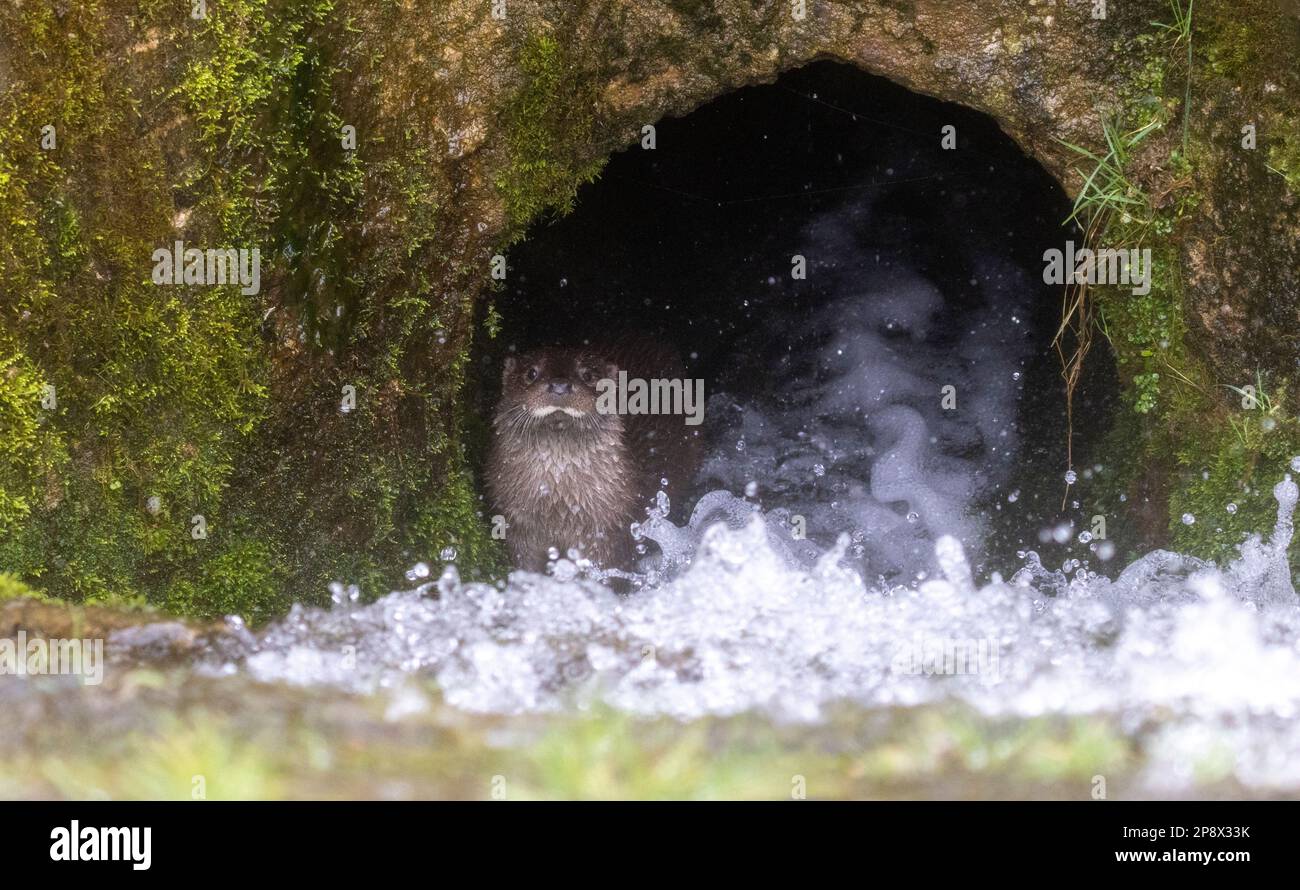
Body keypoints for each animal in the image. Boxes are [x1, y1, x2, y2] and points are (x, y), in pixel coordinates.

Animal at [487, 338, 703, 573]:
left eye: (588, 375)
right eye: (531, 373)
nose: (559, 385)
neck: (557, 505)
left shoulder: (610, 529)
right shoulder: (516, 522)